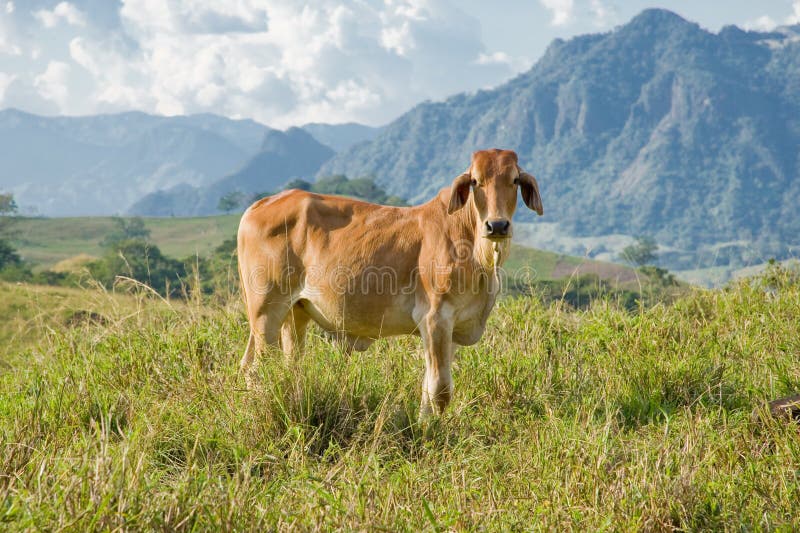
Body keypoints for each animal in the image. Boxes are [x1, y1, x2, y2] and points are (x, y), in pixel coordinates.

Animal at [237, 149, 543, 418]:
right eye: (476, 181)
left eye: (514, 180)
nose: (497, 225)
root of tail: (260, 204)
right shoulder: (435, 318)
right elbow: (440, 391)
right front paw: (431, 433)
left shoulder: (454, 328)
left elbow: (429, 388)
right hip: (266, 311)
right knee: (257, 369)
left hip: (295, 312)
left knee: (287, 368)